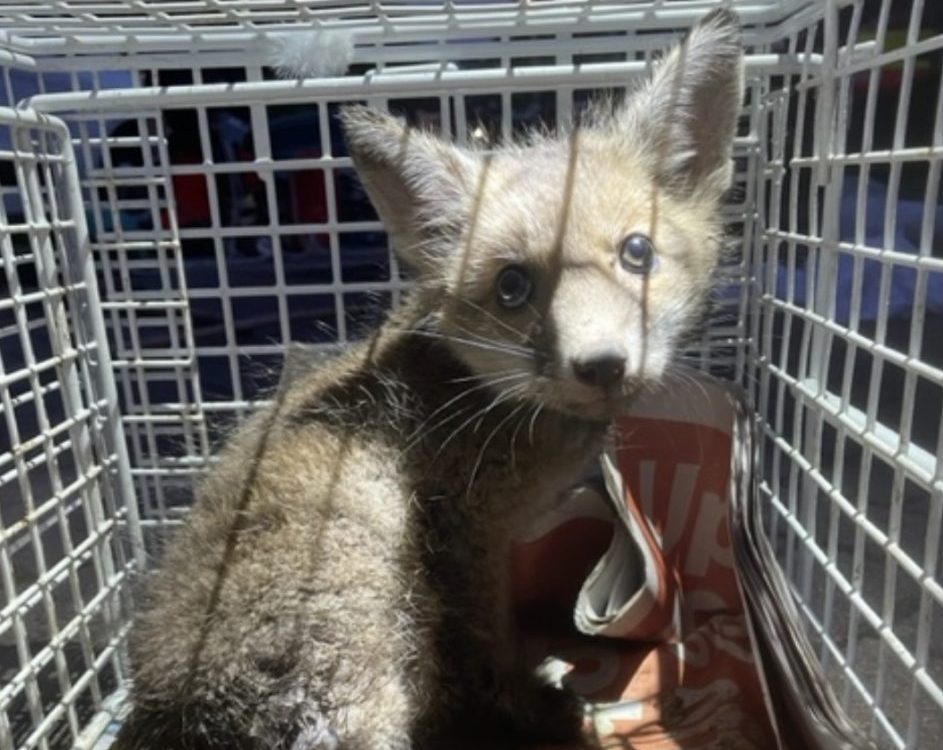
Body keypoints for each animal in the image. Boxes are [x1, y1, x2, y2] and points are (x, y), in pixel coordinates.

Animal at [115, 9, 744, 750]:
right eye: (512, 287)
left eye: (637, 252)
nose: (601, 364)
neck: (486, 403)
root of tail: (176, 713)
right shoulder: (467, 538)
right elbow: (492, 651)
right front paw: (538, 710)